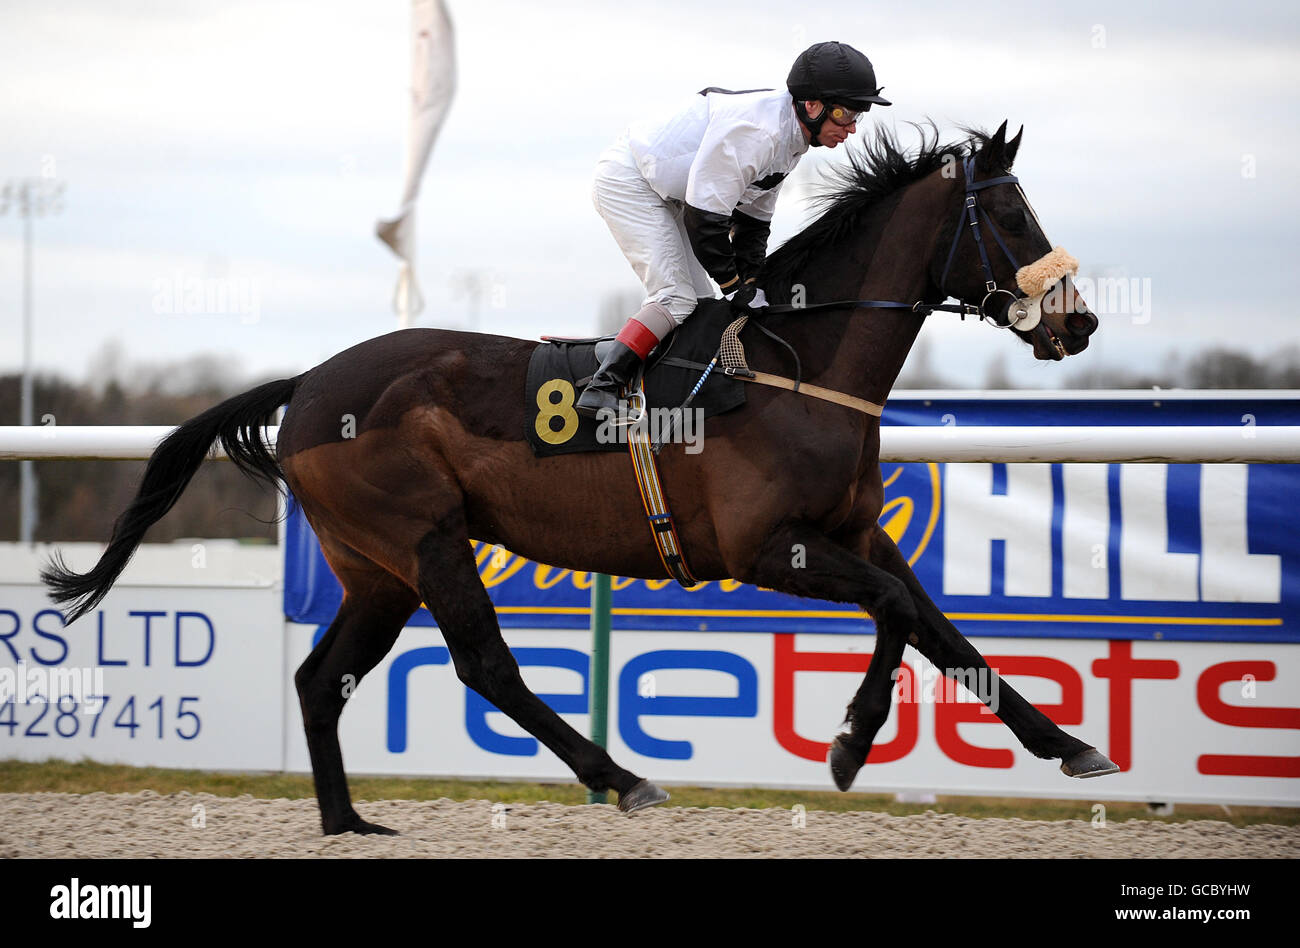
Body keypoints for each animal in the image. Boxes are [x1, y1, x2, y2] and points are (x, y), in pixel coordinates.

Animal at [43, 120, 1117, 836]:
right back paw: (623, 776)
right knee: (484, 665)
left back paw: (348, 824)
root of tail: (306, 385)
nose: (1079, 321)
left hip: (374, 569)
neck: (797, 365)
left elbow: (942, 627)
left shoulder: (856, 531)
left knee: (321, 676)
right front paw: (851, 745)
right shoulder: (766, 548)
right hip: (425, 539)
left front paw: (1072, 748)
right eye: (1011, 212)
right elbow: (897, 611)